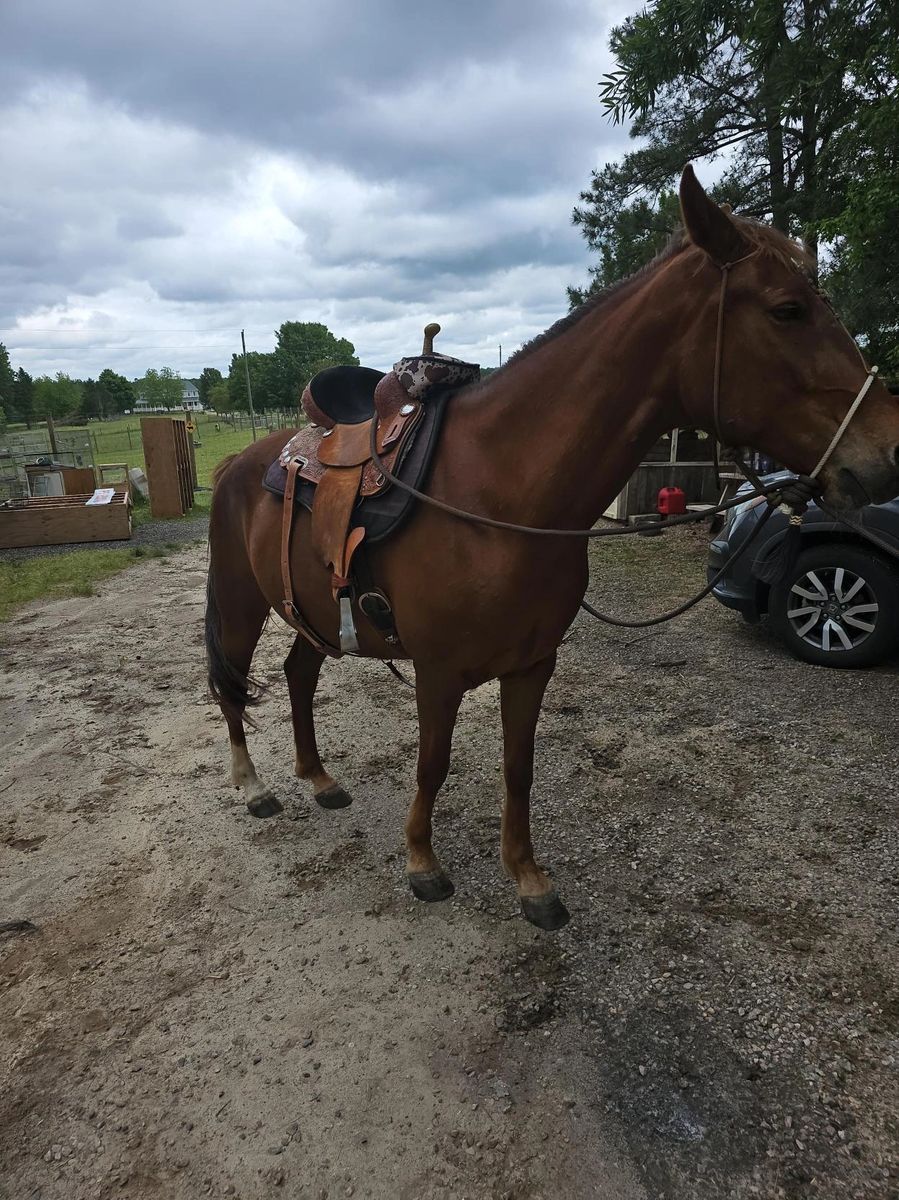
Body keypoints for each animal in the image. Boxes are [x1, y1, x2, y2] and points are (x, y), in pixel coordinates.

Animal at [205, 166, 899, 930]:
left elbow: (519, 767)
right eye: (787, 310)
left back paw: (318, 777)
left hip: (313, 616)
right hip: (241, 601)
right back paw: (252, 787)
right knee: (229, 682)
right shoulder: (439, 671)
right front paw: (423, 862)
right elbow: (432, 764)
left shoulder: (533, 664)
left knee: (298, 674)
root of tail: (241, 462)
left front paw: (529, 878)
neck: (499, 491)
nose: (890, 451)